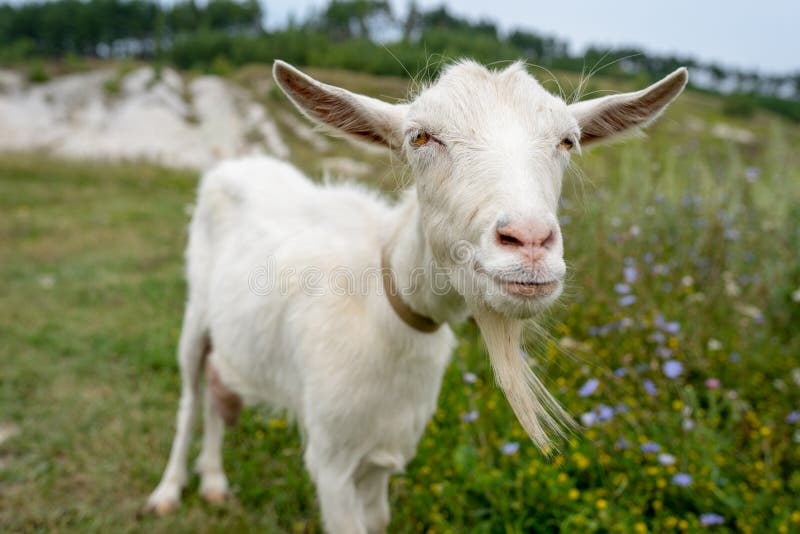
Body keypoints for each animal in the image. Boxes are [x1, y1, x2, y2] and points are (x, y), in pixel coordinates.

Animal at [146, 59, 687, 533]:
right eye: (420, 137)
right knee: (190, 400)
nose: (530, 242)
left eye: (567, 141)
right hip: (195, 316)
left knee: (217, 391)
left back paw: (214, 483)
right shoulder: (331, 459)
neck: (388, 308)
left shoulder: (384, 453)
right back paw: (168, 491)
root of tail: (237, 164)